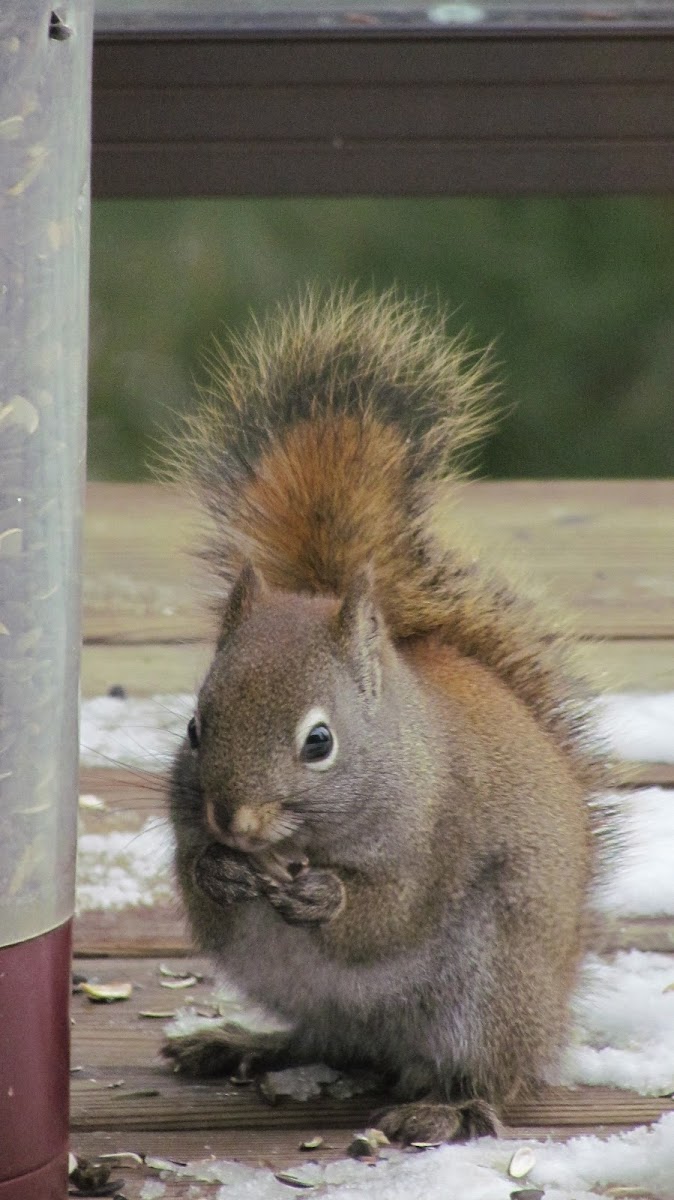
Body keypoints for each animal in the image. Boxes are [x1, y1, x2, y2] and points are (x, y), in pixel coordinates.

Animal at [163, 288, 614, 1145]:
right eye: (195, 727)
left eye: (319, 742)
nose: (232, 821)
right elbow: (202, 897)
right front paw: (216, 869)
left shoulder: (439, 836)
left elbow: (392, 916)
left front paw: (325, 898)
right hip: (315, 999)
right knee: (325, 1040)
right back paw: (244, 1044)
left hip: (491, 989)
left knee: (493, 1074)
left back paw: (449, 1106)